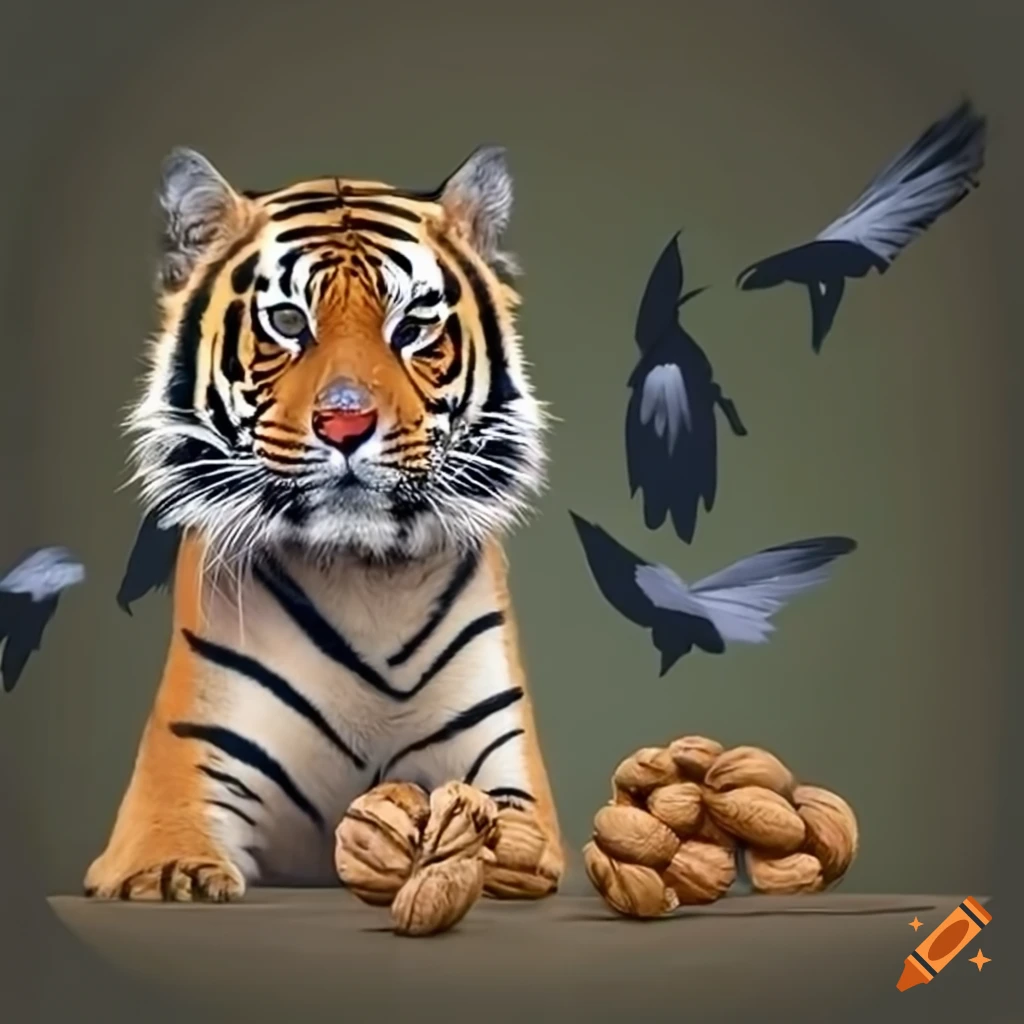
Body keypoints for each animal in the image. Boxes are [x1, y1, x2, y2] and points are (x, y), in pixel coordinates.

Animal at [83, 145, 564, 902]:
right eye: (287, 322)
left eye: (412, 328)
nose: (346, 423)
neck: (364, 581)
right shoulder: (184, 768)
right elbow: (165, 850)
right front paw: (177, 878)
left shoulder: (503, 760)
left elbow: (510, 837)